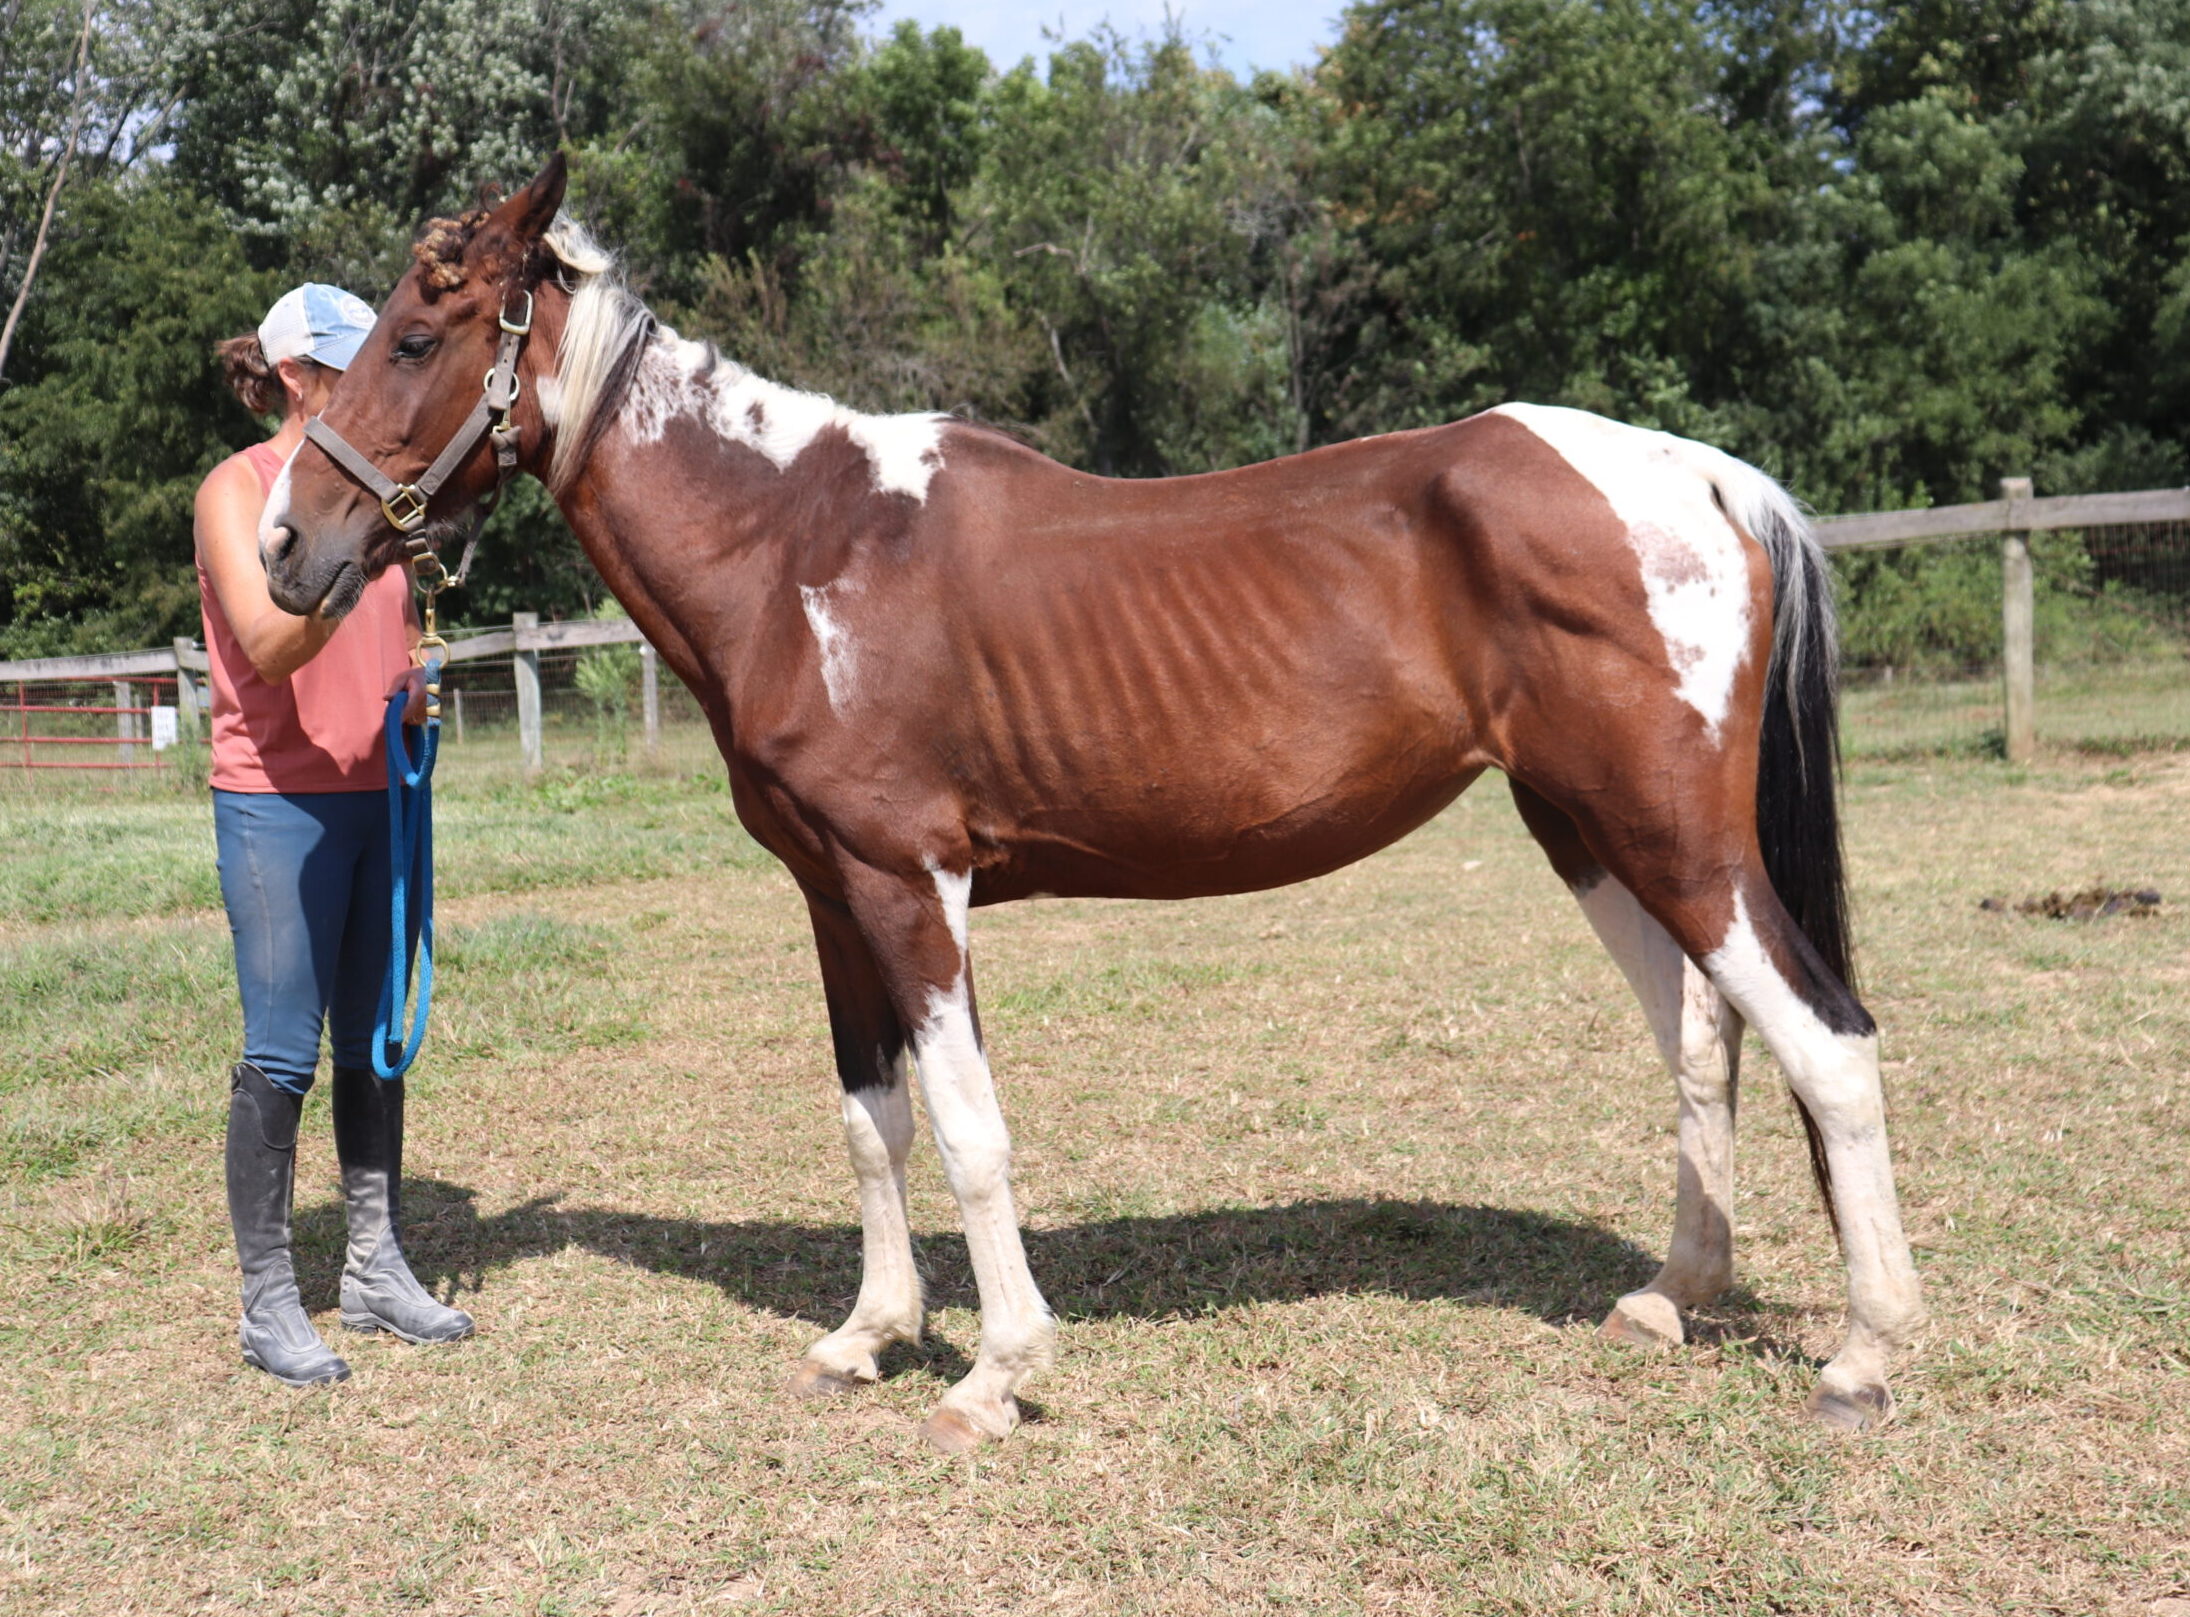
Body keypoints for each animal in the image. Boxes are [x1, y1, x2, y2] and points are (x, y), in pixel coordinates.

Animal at [258, 156, 1922, 1452]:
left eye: (416, 334)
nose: (285, 546)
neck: (799, 545)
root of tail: (1692, 472)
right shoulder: (831, 896)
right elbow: (871, 1120)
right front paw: (868, 1335)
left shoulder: (910, 885)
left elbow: (966, 1128)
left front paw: (995, 1373)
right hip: (1589, 834)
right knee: (1702, 1041)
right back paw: (1667, 1299)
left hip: (1675, 840)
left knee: (1825, 1040)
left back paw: (1860, 1356)